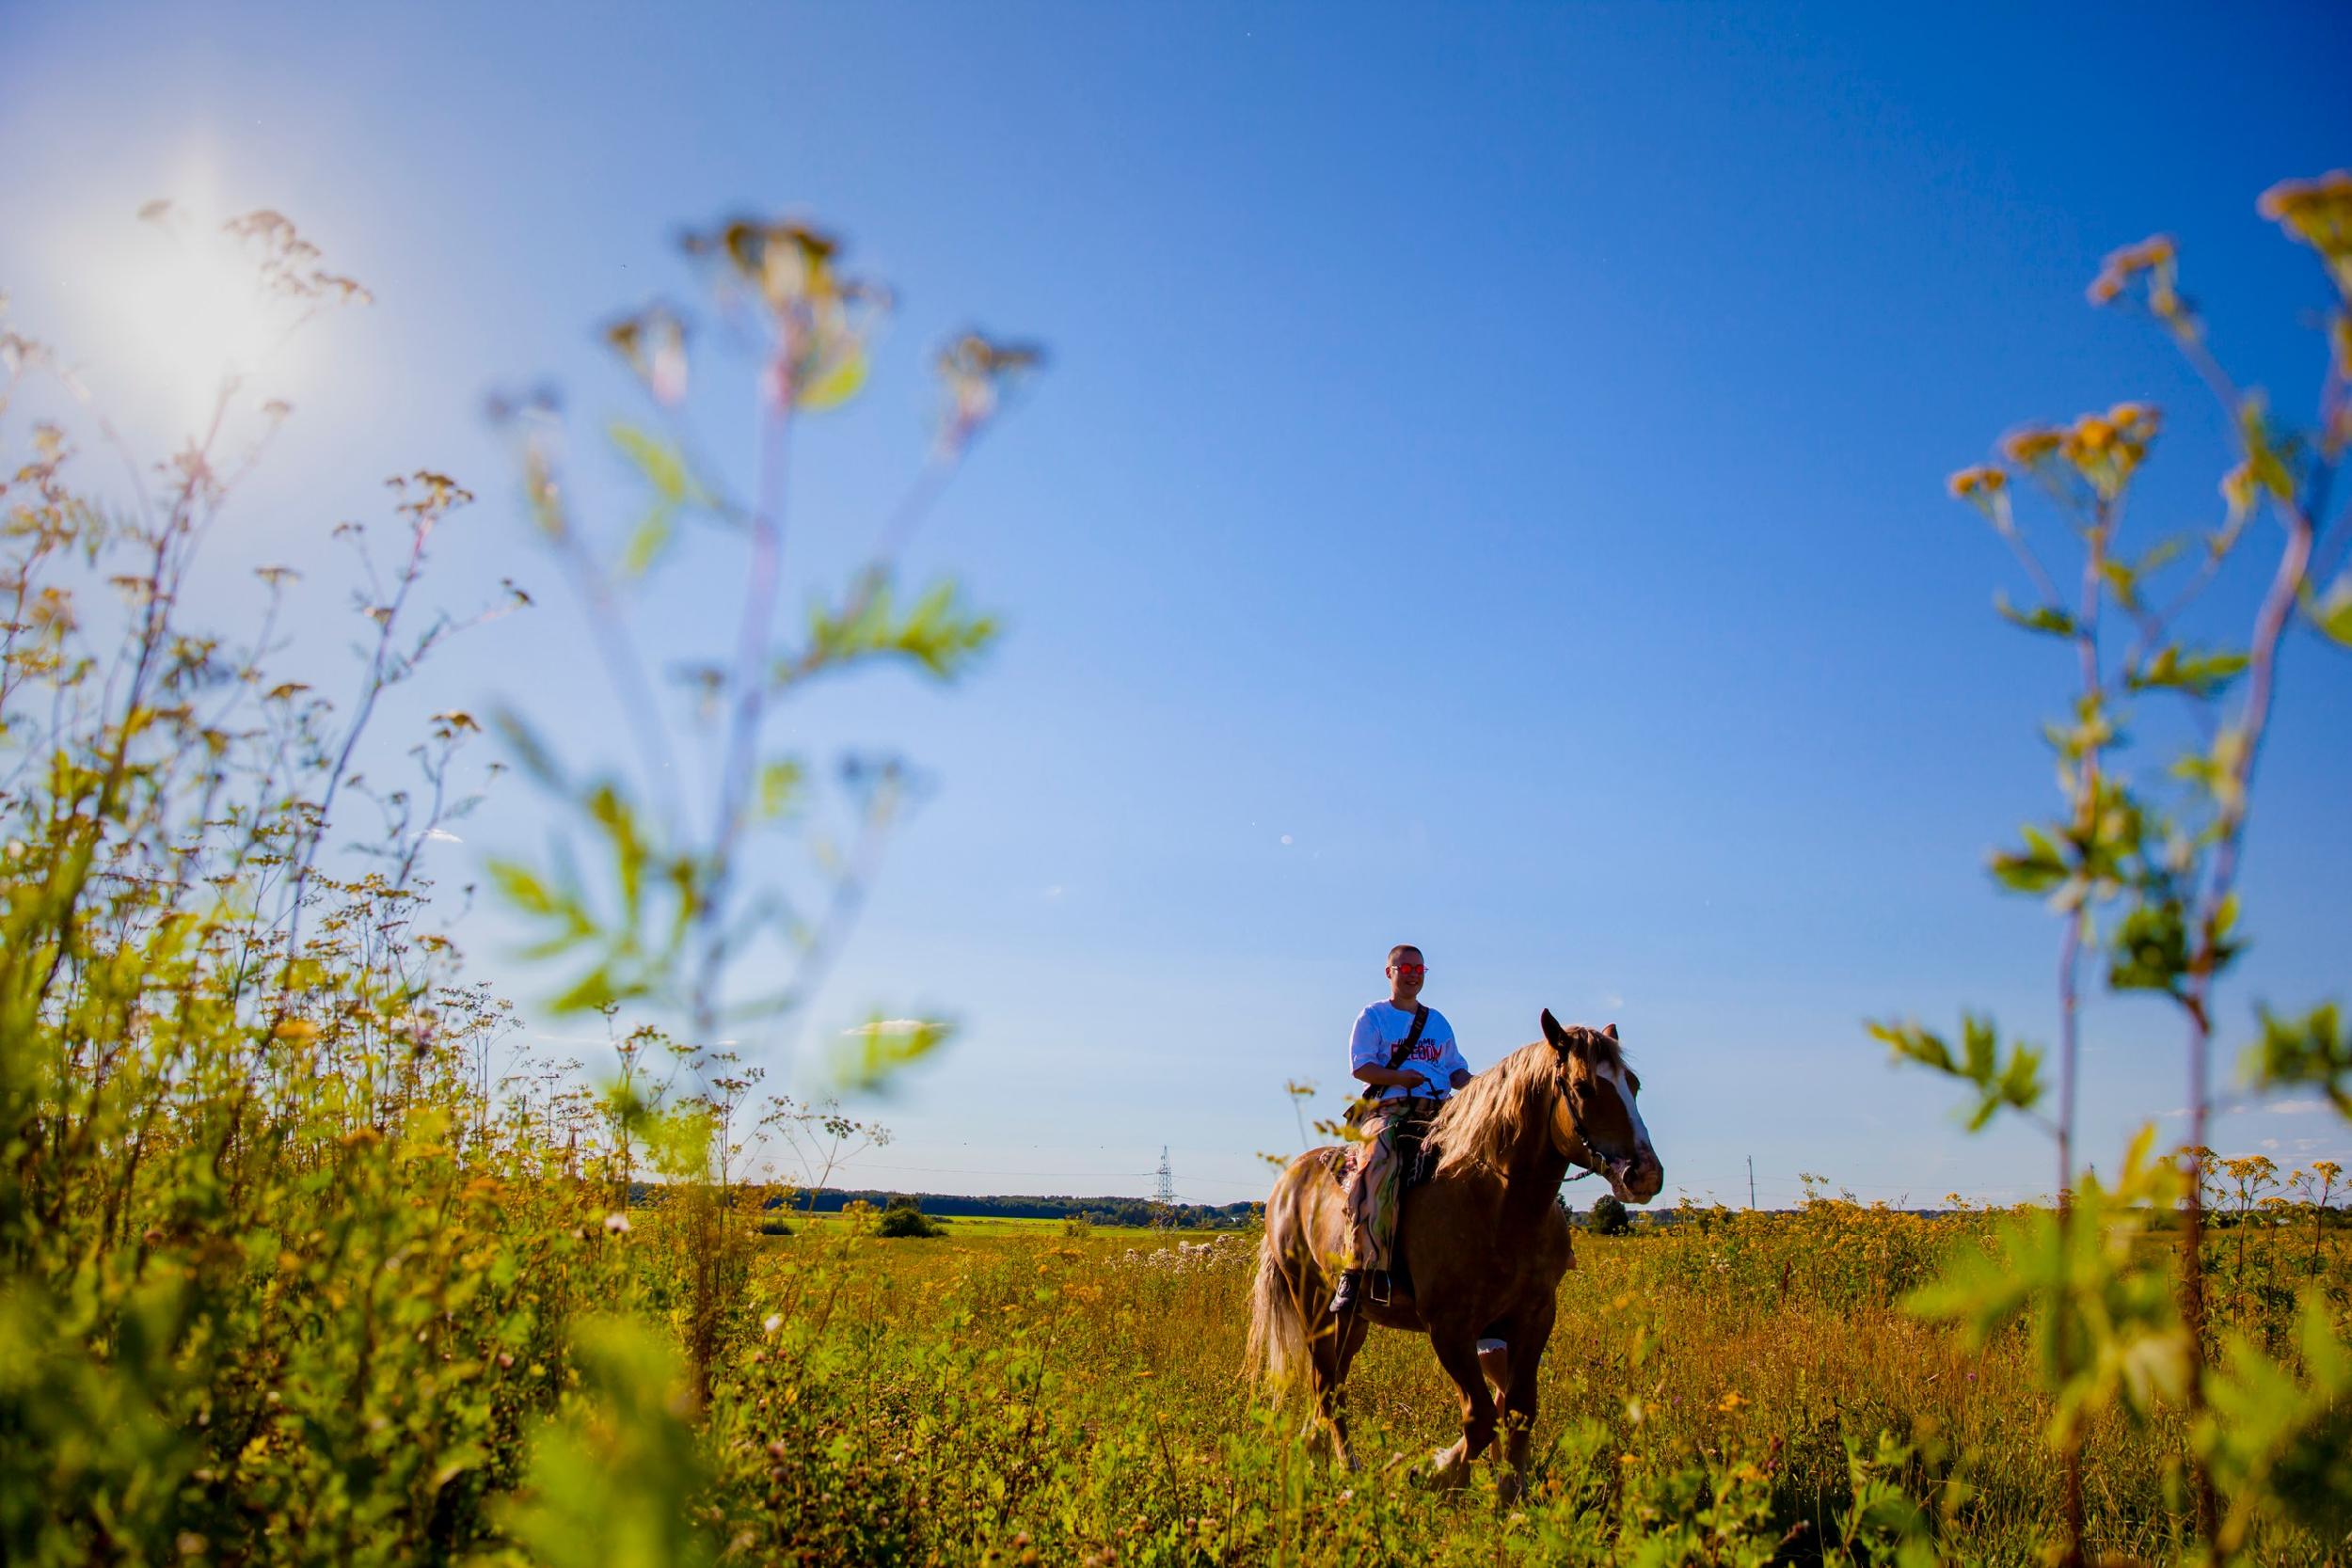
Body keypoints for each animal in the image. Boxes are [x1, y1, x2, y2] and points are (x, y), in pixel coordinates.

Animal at [1245, 1009, 1663, 1492]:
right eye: (1583, 1087)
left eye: (1633, 1084)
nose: (1645, 1174)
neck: (1497, 1200)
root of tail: (1287, 1182)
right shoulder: (1449, 1328)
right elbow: (1479, 1417)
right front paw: (1435, 1471)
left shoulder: (1534, 1316)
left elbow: (1518, 1411)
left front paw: (1507, 1495)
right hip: (1312, 1303)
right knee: (1326, 1386)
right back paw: (1347, 1470)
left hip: (1352, 1320)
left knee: (1335, 1384)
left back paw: (1318, 1451)